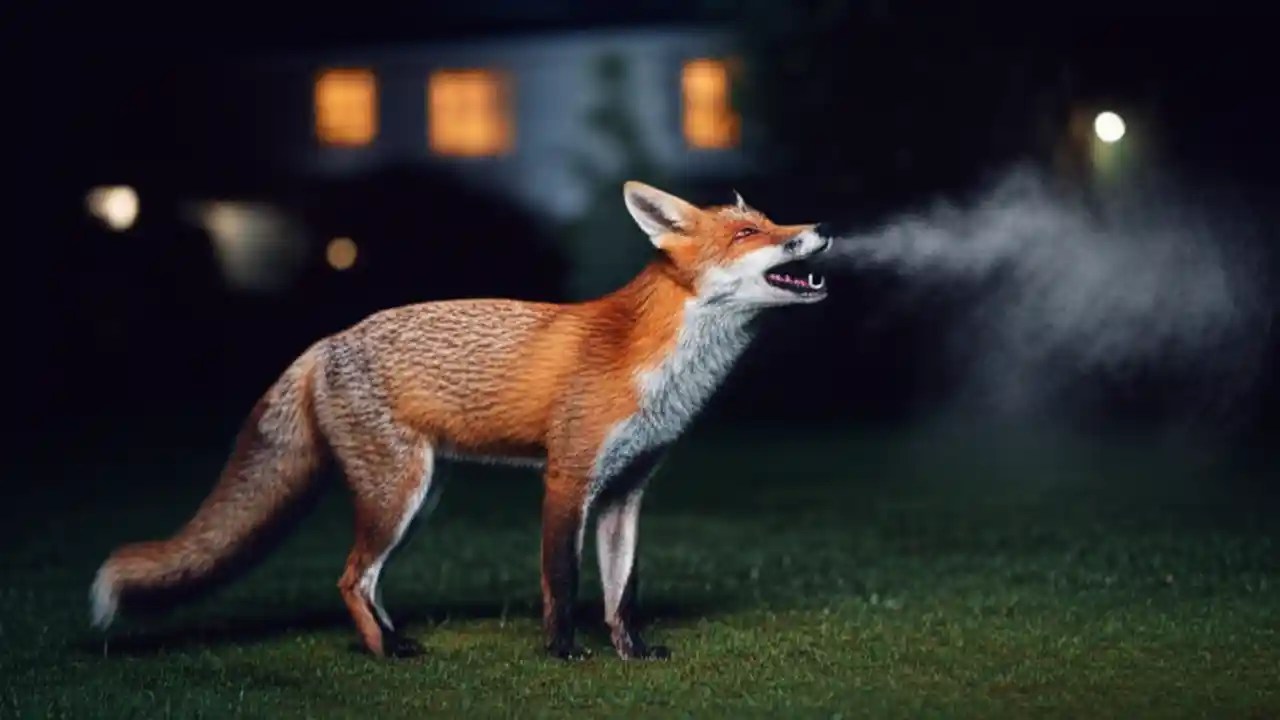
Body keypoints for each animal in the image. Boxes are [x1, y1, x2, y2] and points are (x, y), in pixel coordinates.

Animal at [89, 180, 832, 661]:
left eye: (772, 222)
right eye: (749, 234)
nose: (822, 230)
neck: (659, 360)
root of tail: (325, 342)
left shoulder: (628, 491)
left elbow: (622, 590)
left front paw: (632, 652)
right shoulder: (568, 476)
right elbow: (562, 579)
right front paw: (563, 652)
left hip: (420, 500)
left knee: (368, 579)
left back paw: (394, 638)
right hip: (398, 494)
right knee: (349, 577)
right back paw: (382, 654)